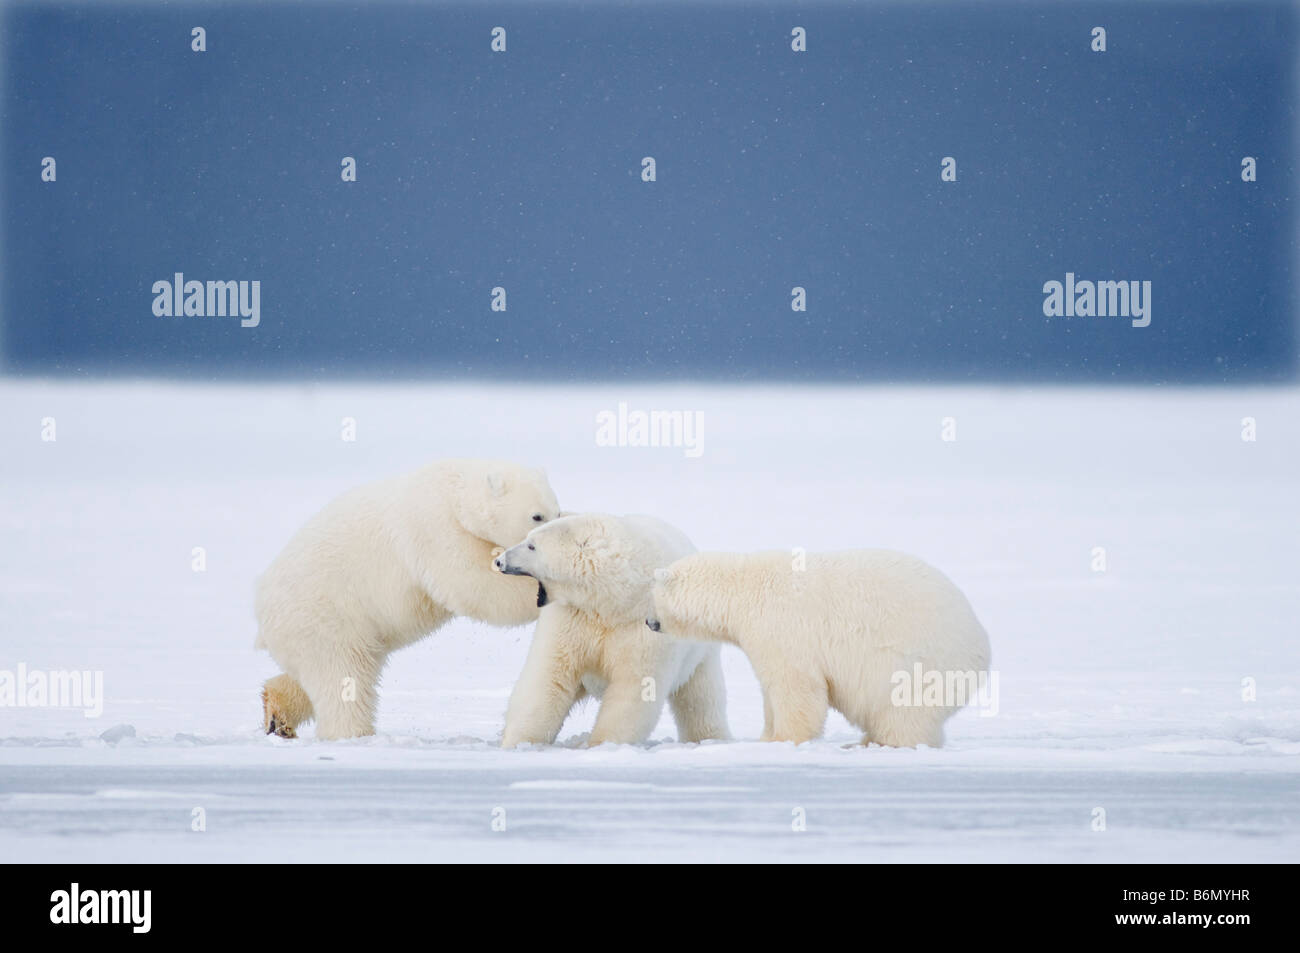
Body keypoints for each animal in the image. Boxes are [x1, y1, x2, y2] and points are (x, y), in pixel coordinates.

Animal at [255, 458, 560, 740]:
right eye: (536, 515)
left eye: (556, 511)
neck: (452, 490)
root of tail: (262, 619)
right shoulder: (434, 528)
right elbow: (472, 580)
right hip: (324, 615)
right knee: (343, 677)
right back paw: (352, 733)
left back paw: (278, 714)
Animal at [493, 513, 730, 747]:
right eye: (528, 538)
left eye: (531, 546)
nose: (499, 560)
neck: (613, 600)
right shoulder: (573, 618)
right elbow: (550, 676)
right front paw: (520, 742)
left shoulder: (643, 630)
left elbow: (634, 688)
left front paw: (602, 744)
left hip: (701, 652)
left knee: (701, 698)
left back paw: (710, 738)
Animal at [646, 549, 991, 747]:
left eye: (653, 598)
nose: (649, 622)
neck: (743, 590)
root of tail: (981, 646)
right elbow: (770, 689)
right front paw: (766, 735)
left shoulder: (781, 626)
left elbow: (795, 685)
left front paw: (784, 739)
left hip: (920, 665)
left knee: (902, 713)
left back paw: (875, 743)